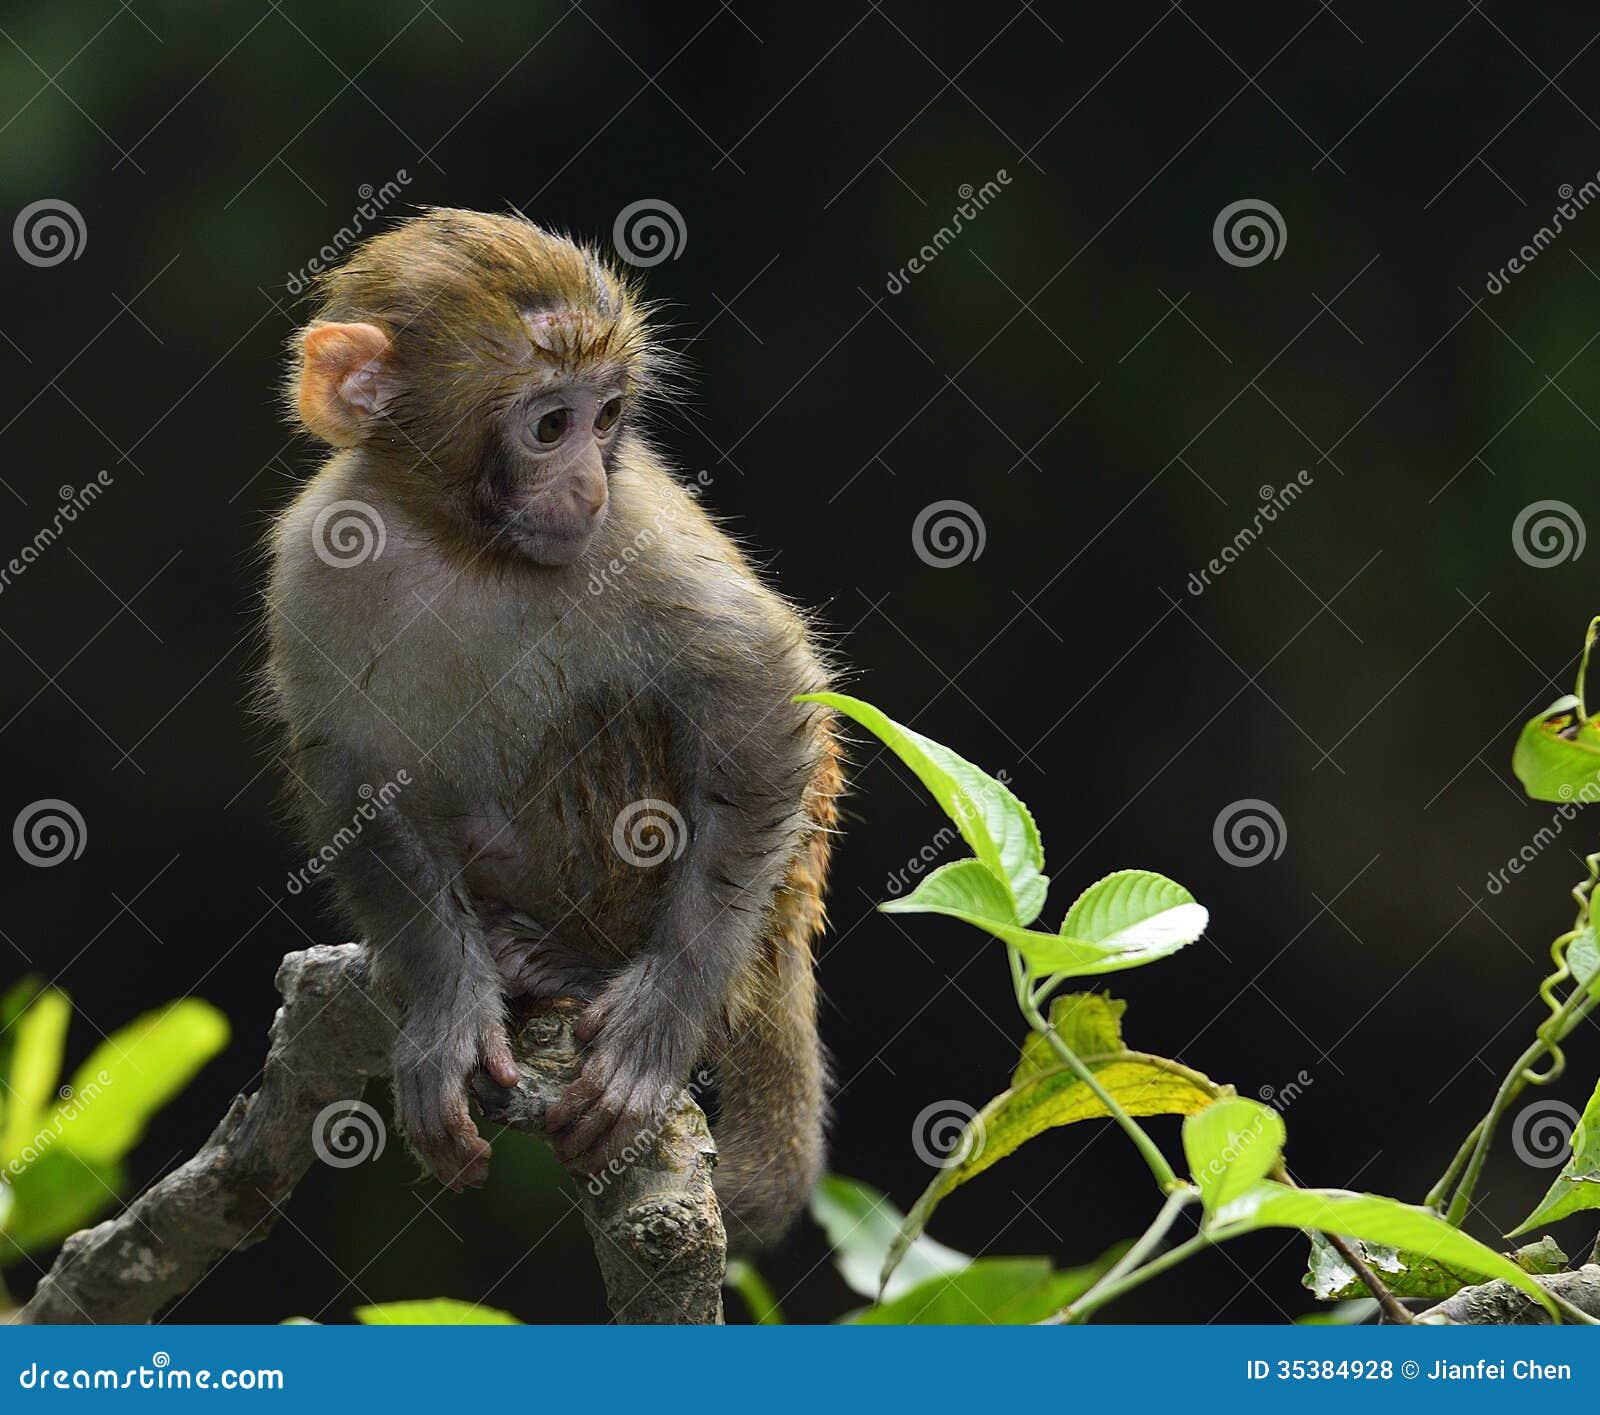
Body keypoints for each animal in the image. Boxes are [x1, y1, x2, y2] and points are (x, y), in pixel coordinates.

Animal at [262, 208, 842, 1247]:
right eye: (547, 425)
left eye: (605, 417)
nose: (585, 484)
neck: (459, 542)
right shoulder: (309, 559)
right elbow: (352, 771)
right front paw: (449, 1004)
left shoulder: (636, 525)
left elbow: (762, 688)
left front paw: (663, 1012)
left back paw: (574, 957)